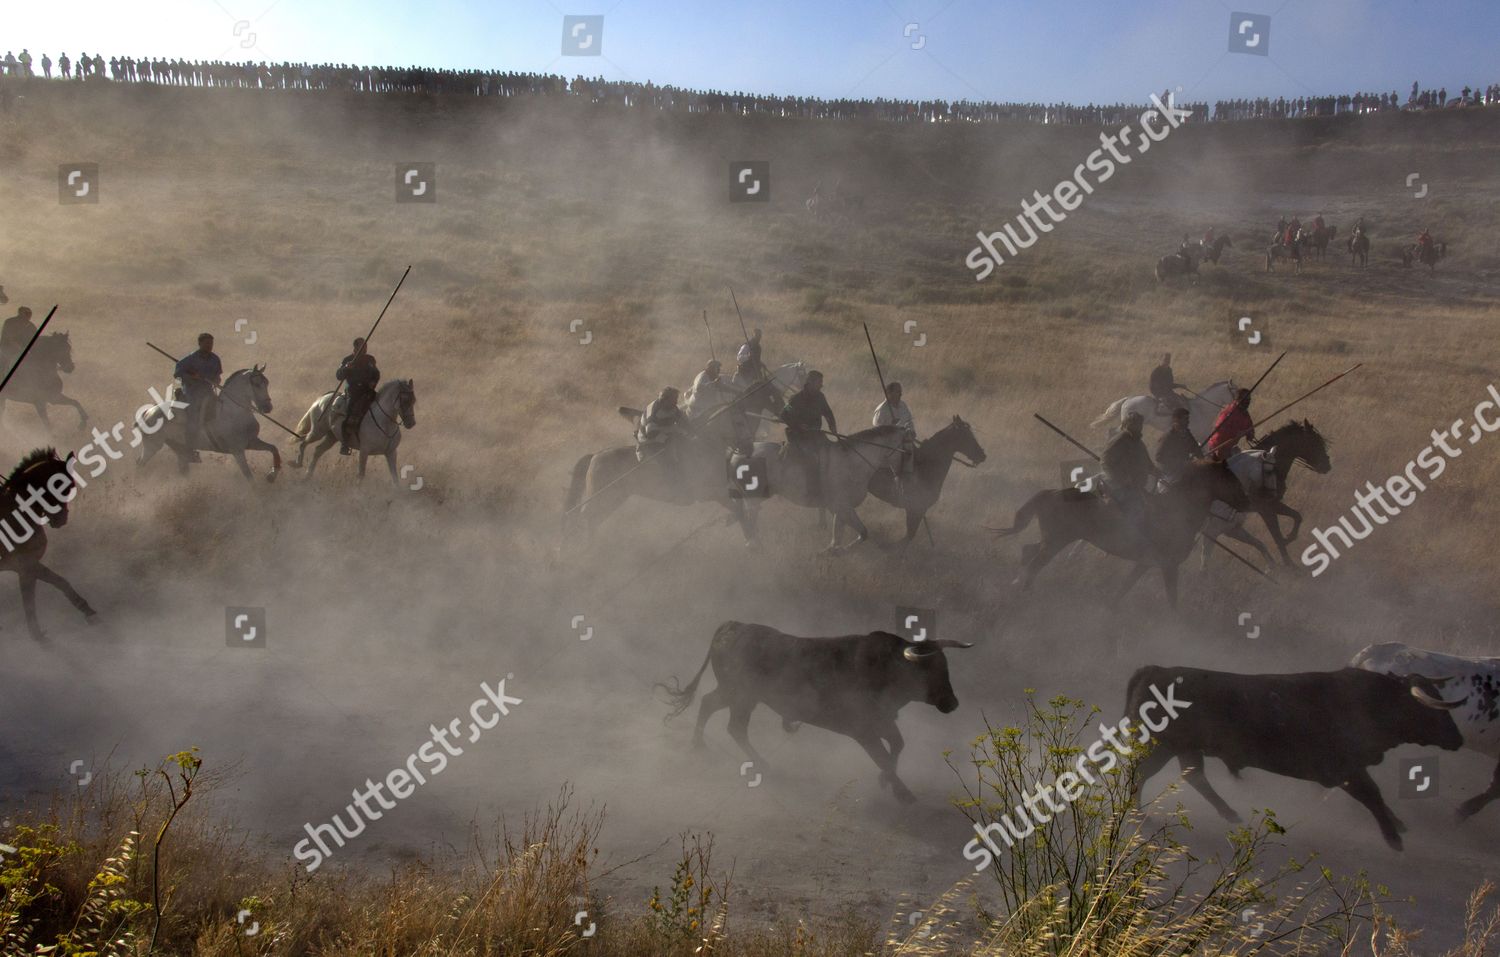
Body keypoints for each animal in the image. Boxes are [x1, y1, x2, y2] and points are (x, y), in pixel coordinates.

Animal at [657, 621, 972, 803]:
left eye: (946, 667)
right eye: (927, 671)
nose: (952, 703)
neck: (885, 668)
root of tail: (732, 627)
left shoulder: (883, 721)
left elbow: (897, 745)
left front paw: (888, 782)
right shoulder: (863, 730)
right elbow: (883, 756)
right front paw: (902, 792)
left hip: (737, 695)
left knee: (709, 704)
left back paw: (699, 744)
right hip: (740, 696)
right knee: (734, 725)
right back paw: (759, 764)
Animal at [1125, 665, 1465, 850]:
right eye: (1430, 710)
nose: (1458, 739)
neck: (1371, 702)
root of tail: (1156, 670)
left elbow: (1375, 797)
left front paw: (1397, 825)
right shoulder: (1345, 769)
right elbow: (1372, 795)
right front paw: (1393, 836)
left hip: (1179, 747)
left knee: (1190, 775)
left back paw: (1226, 812)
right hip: (1162, 744)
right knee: (1145, 773)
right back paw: (1138, 813)